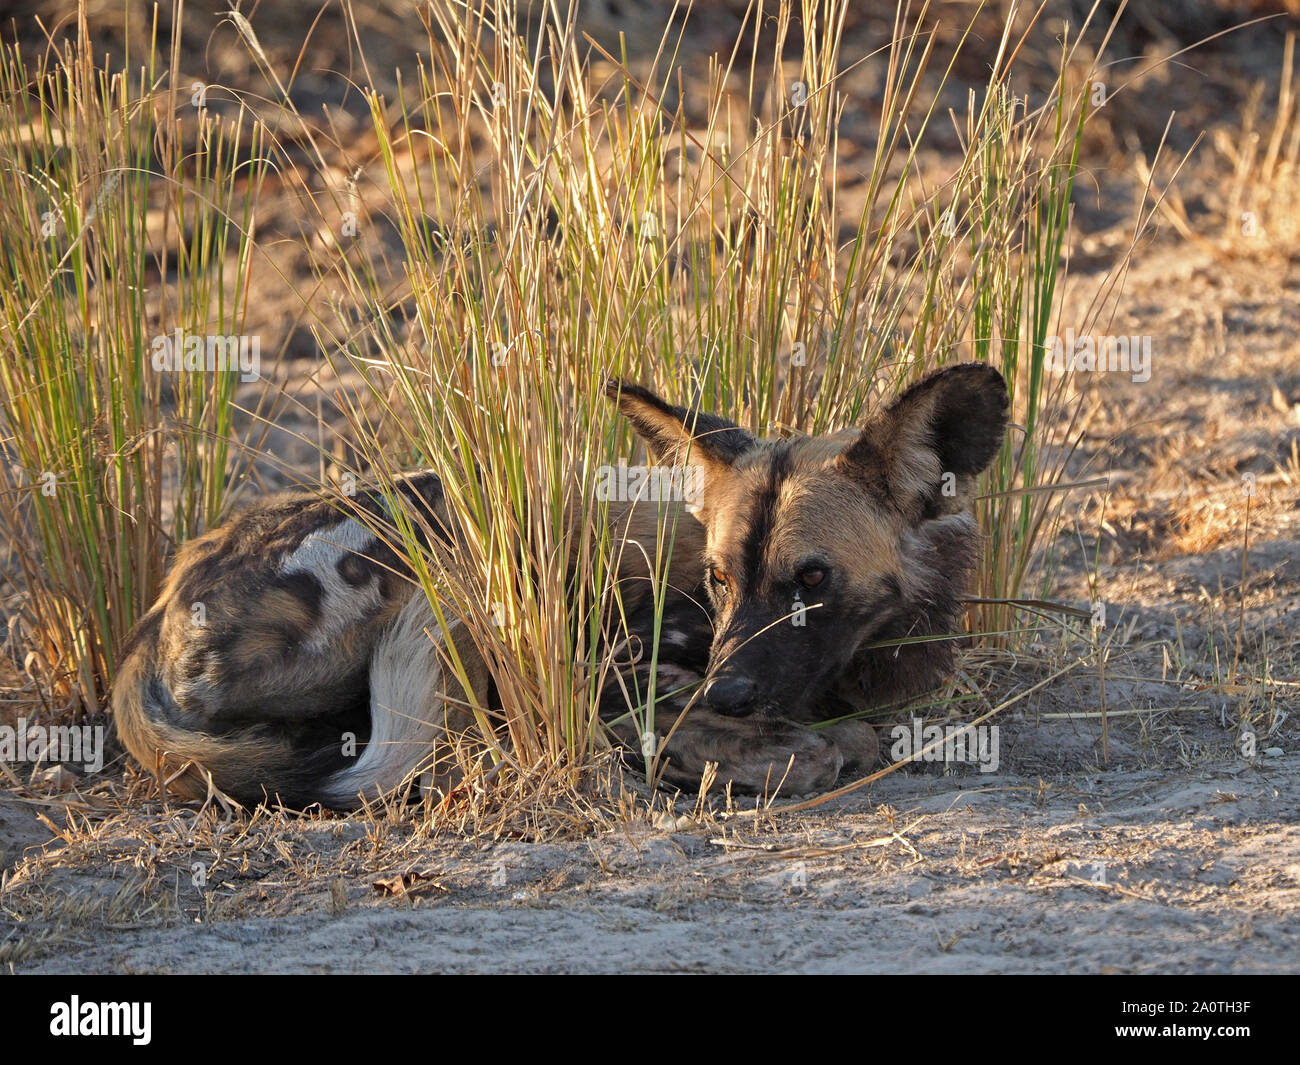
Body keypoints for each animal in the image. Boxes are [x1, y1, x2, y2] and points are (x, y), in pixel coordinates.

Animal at [112, 362, 1007, 807]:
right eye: (721, 578)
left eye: (812, 578)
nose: (731, 692)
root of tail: (156, 615)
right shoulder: (616, 654)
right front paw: (759, 751)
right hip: (431, 549)